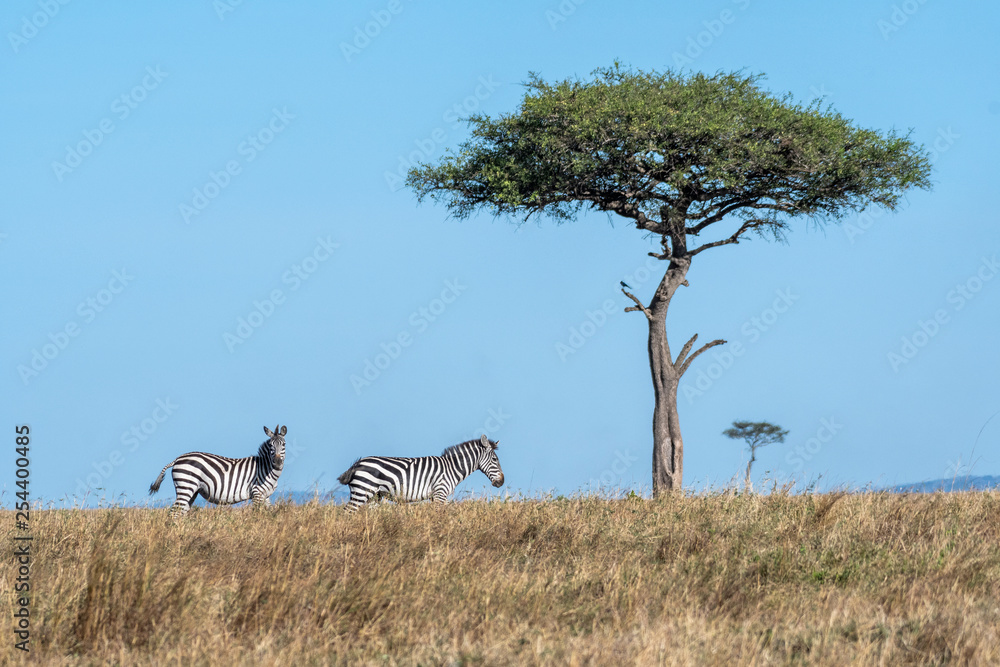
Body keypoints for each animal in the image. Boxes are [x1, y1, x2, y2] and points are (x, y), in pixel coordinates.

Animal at [149, 424, 287, 517]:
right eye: (271, 445)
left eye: (284, 444)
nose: (277, 462)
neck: (266, 469)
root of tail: (177, 459)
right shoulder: (257, 493)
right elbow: (258, 515)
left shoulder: (266, 496)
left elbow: (270, 513)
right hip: (186, 486)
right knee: (174, 512)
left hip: (191, 491)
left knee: (181, 512)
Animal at [338, 434, 504, 512]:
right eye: (495, 459)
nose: (501, 482)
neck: (452, 468)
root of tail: (357, 463)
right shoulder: (440, 493)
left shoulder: (437, 496)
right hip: (362, 491)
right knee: (347, 513)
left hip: (374, 496)